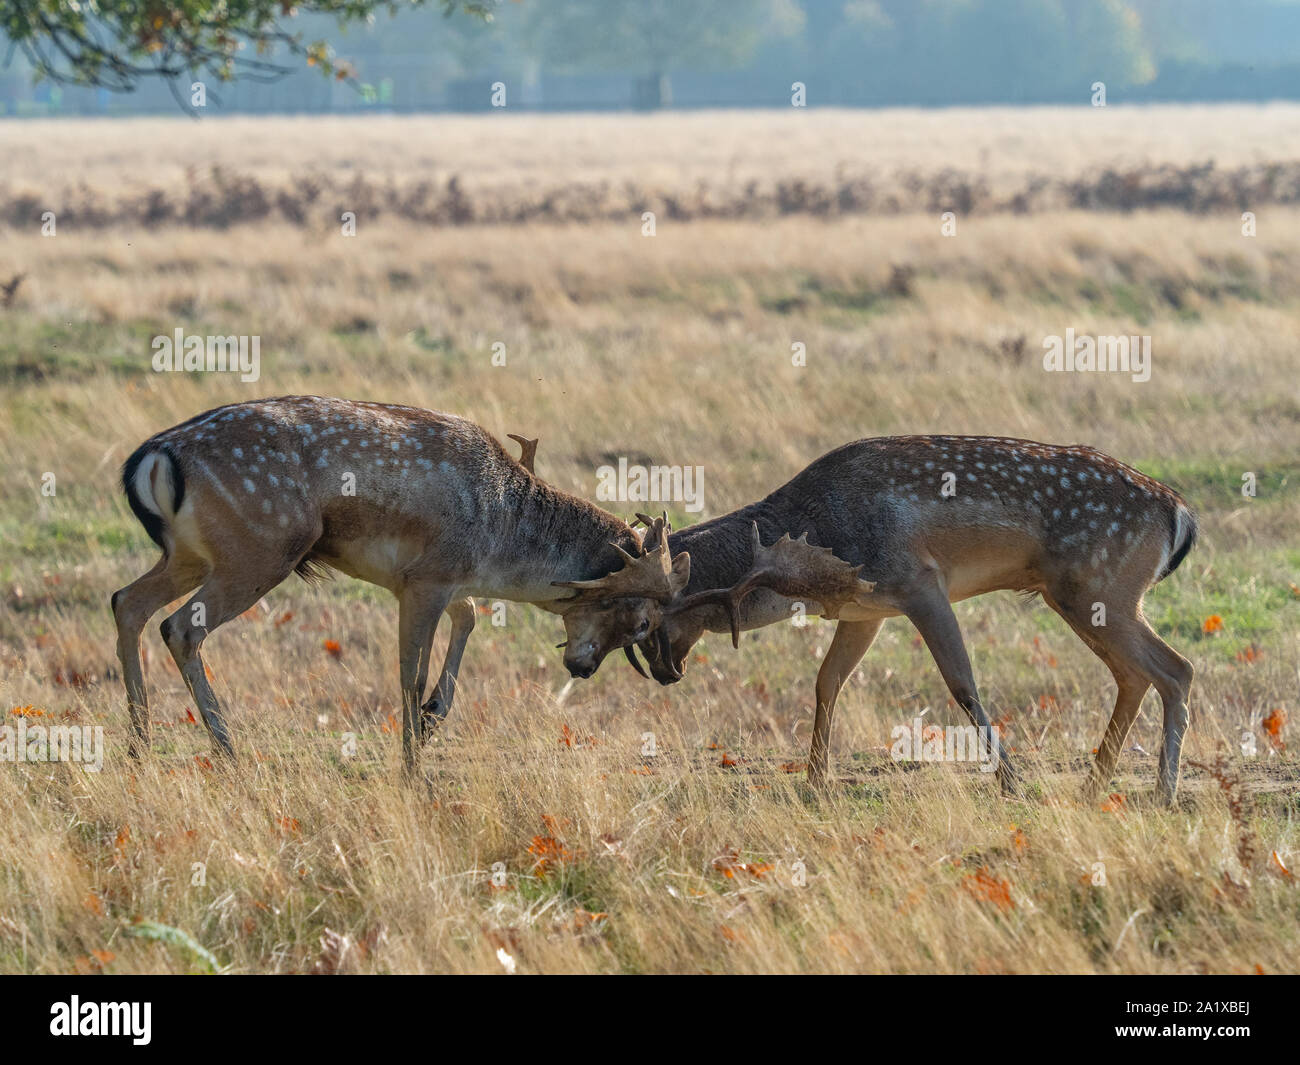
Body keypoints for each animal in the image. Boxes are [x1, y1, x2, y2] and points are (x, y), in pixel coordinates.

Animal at [111, 396, 687, 774]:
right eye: (641, 621)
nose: (581, 668)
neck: (500, 542)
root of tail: (153, 457)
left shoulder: (442, 581)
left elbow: (468, 618)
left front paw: (432, 719)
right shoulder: (426, 577)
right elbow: (411, 672)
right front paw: (412, 766)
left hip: (190, 555)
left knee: (127, 602)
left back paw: (139, 745)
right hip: (260, 548)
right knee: (179, 627)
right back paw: (227, 750)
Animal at [557, 435, 1199, 804]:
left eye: (642, 621)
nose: (666, 674)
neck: (818, 537)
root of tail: (1180, 513)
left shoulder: (918, 582)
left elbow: (962, 683)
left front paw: (1010, 781)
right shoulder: (865, 610)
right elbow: (827, 681)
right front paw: (814, 779)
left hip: (1098, 589)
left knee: (1176, 668)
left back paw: (1162, 792)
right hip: (1087, 597)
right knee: (1138, 674)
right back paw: (1096, 784)